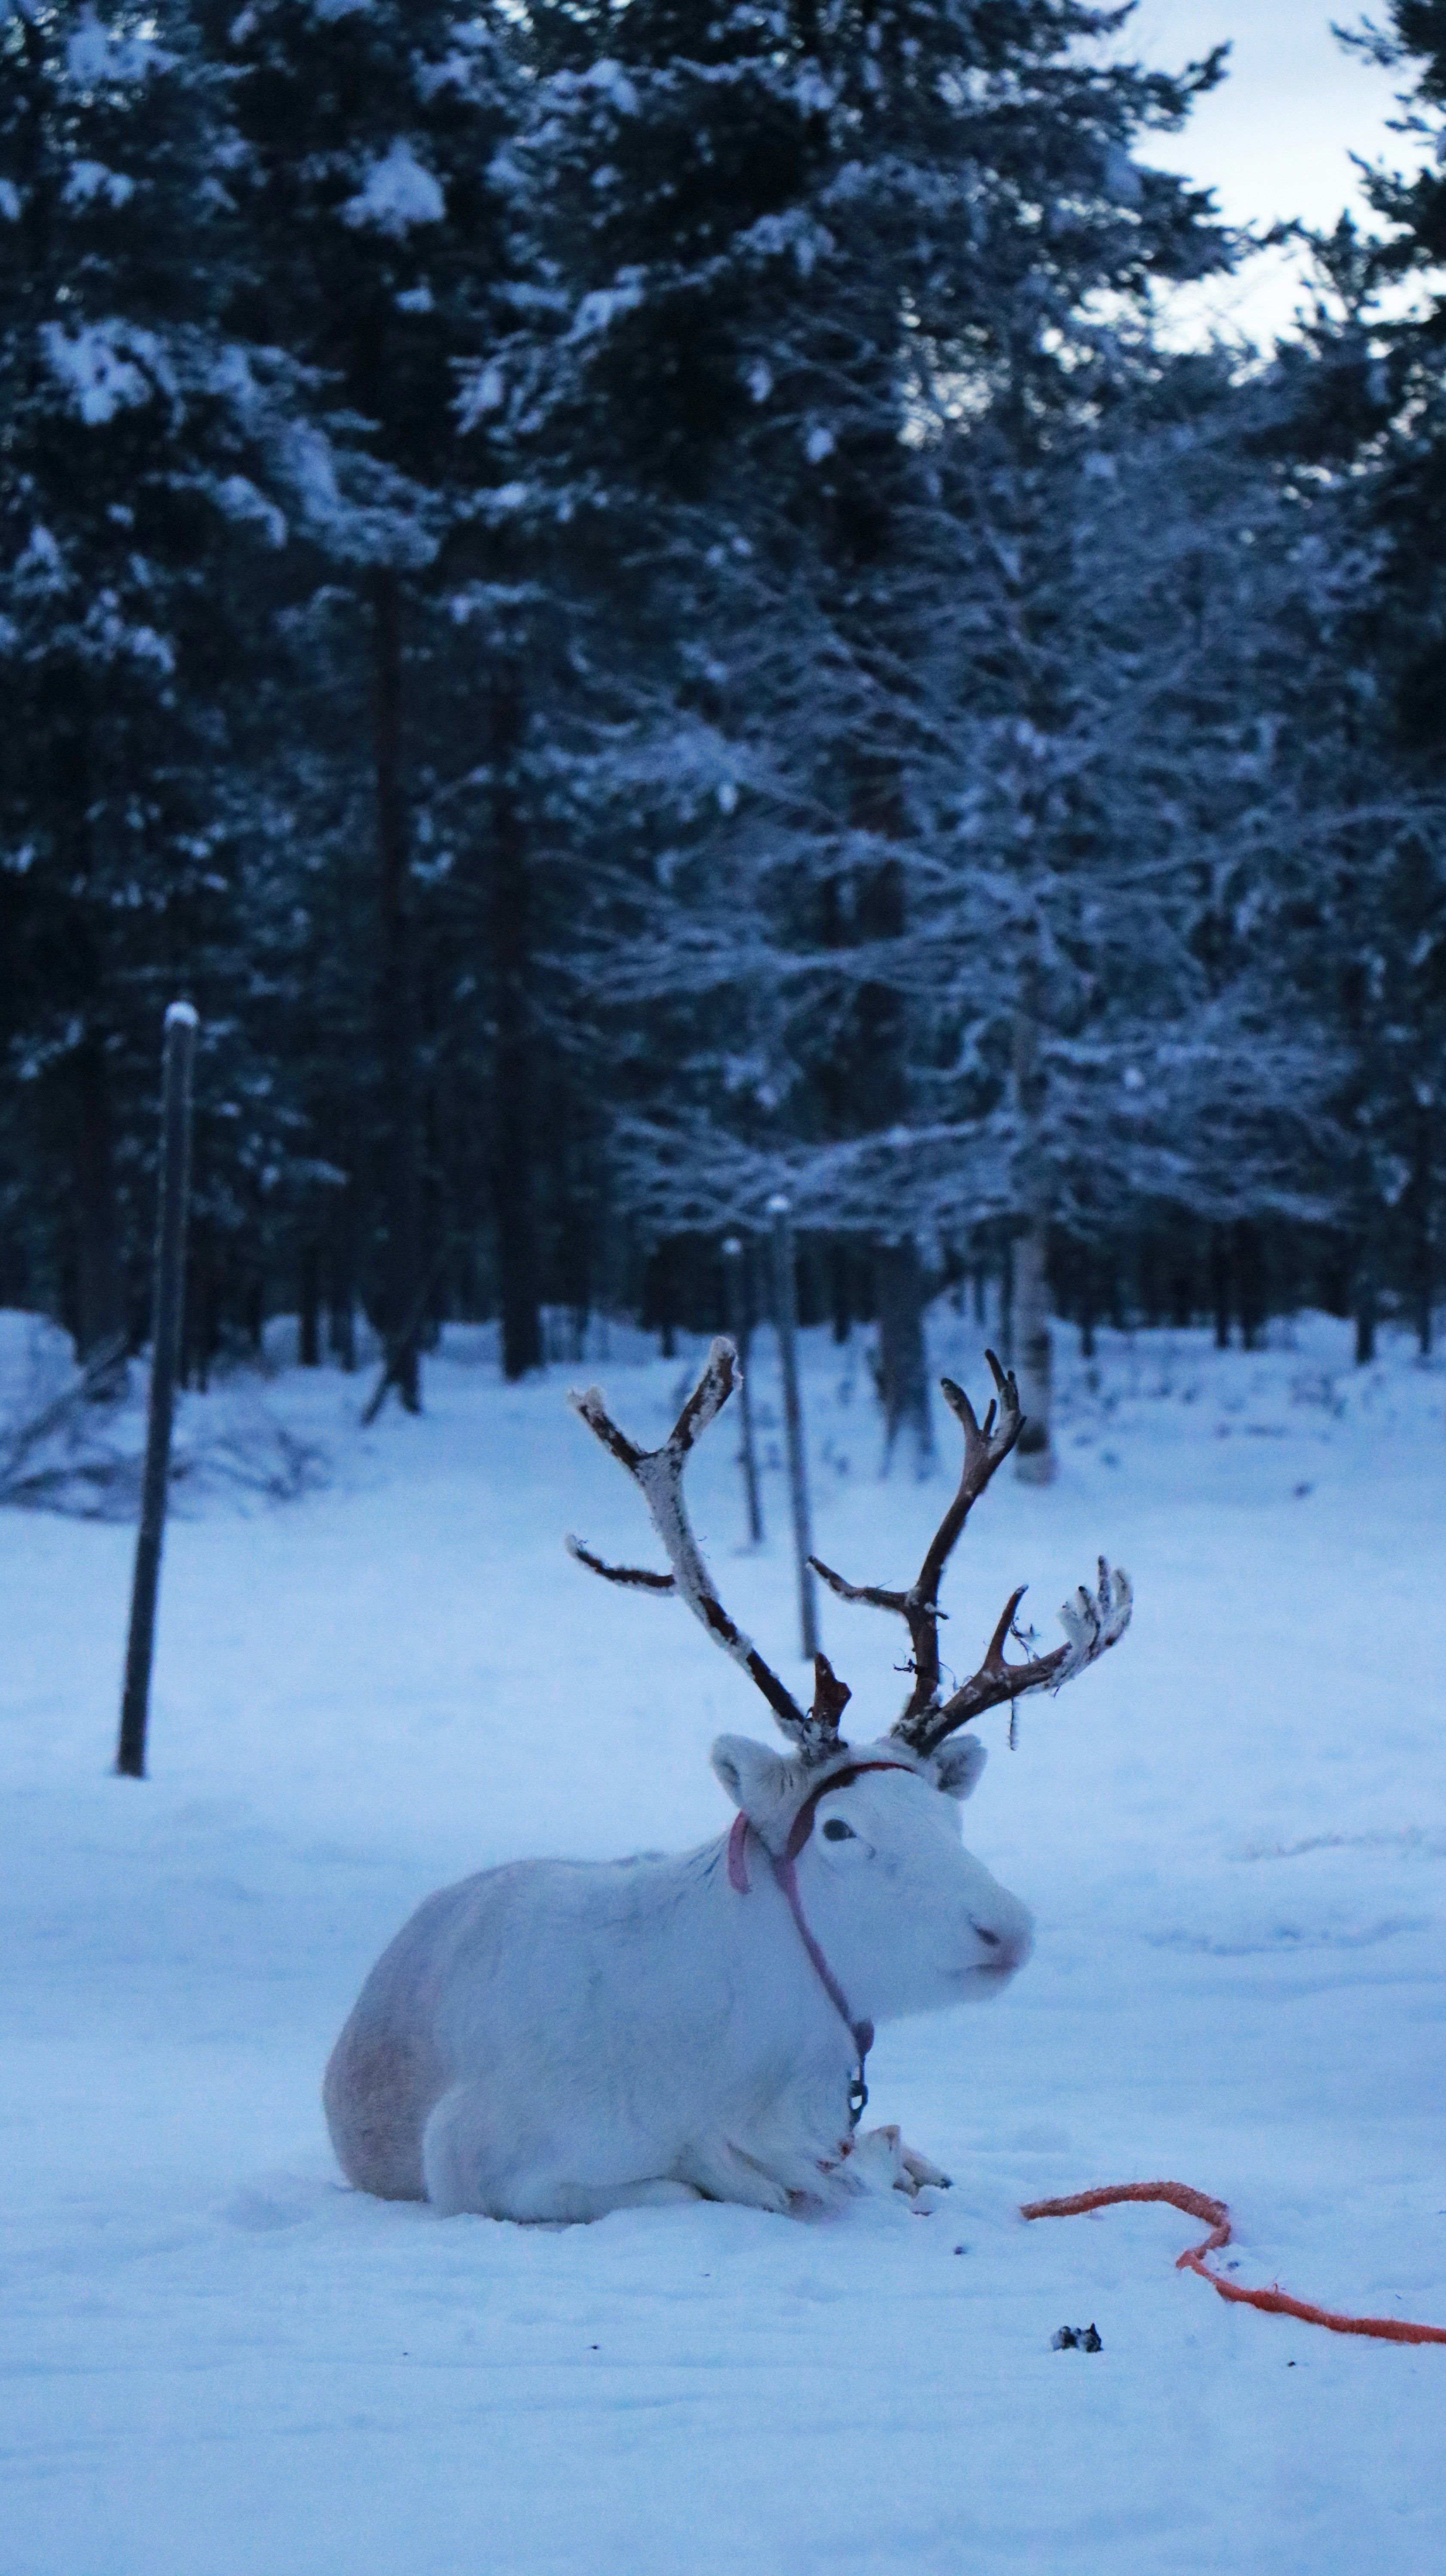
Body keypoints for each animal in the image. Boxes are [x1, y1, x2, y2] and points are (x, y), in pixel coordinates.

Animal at [323, 1339, 1130, 2222]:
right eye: (840, 1828)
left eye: (950, 1820)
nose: (1006, 1929)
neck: (748, 2067)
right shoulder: (481, 2168)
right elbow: (692, 2185)